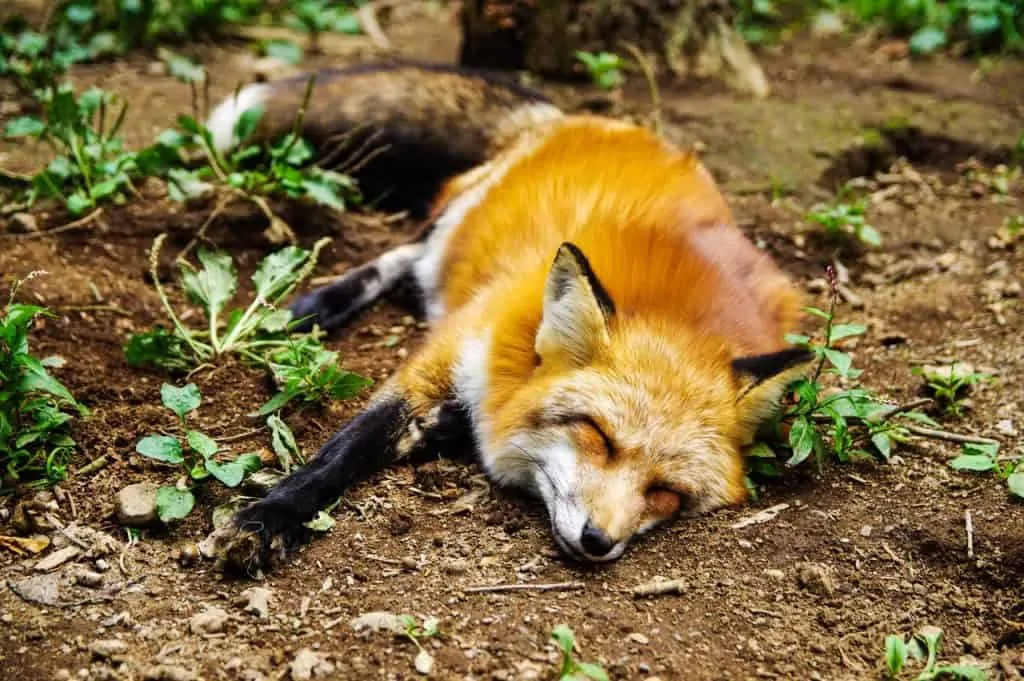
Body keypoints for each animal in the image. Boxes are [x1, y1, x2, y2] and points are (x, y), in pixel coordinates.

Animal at [200, 61, 813, 573]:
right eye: (599, 437)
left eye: (667, 492)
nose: (598, 541)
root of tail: (586, 119)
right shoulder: (449, 349)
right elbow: (341, 452)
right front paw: (267, 520)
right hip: (457, 218)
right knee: (409, 252)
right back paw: (319, 306)